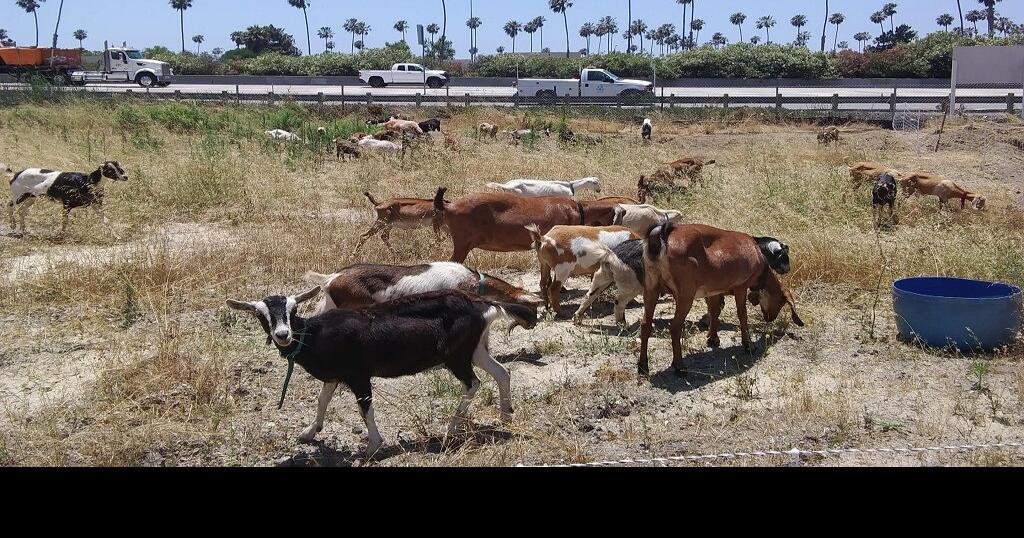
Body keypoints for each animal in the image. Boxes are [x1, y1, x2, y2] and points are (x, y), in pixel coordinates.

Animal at [227, 288, 537, 456]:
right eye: (261, 314)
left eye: (293, 310)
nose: (283, 335)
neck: (316, 333)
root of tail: (485, 304)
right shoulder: (336, 374)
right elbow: (322, 400)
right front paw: (309, 432)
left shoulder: (358, 374)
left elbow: (365, 408)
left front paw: (374, 446)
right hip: (474, 349)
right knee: (502, 373)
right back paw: (506, 414)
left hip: (455, 355)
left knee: (473, 383)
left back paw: (452, 428)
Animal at [638, 222, 804, 377]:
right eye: (781, 302)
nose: (770, 318)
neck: (758, 255)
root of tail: (662, 236)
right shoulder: (740, 286)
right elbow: (742, 315)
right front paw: (749, 345)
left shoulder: (712, 290)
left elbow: (714, 310)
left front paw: (713, 338)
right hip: (685, 295)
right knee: (674, 327)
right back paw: (679, 366)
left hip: (651, 288)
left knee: (645, 324)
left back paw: (643, 366)